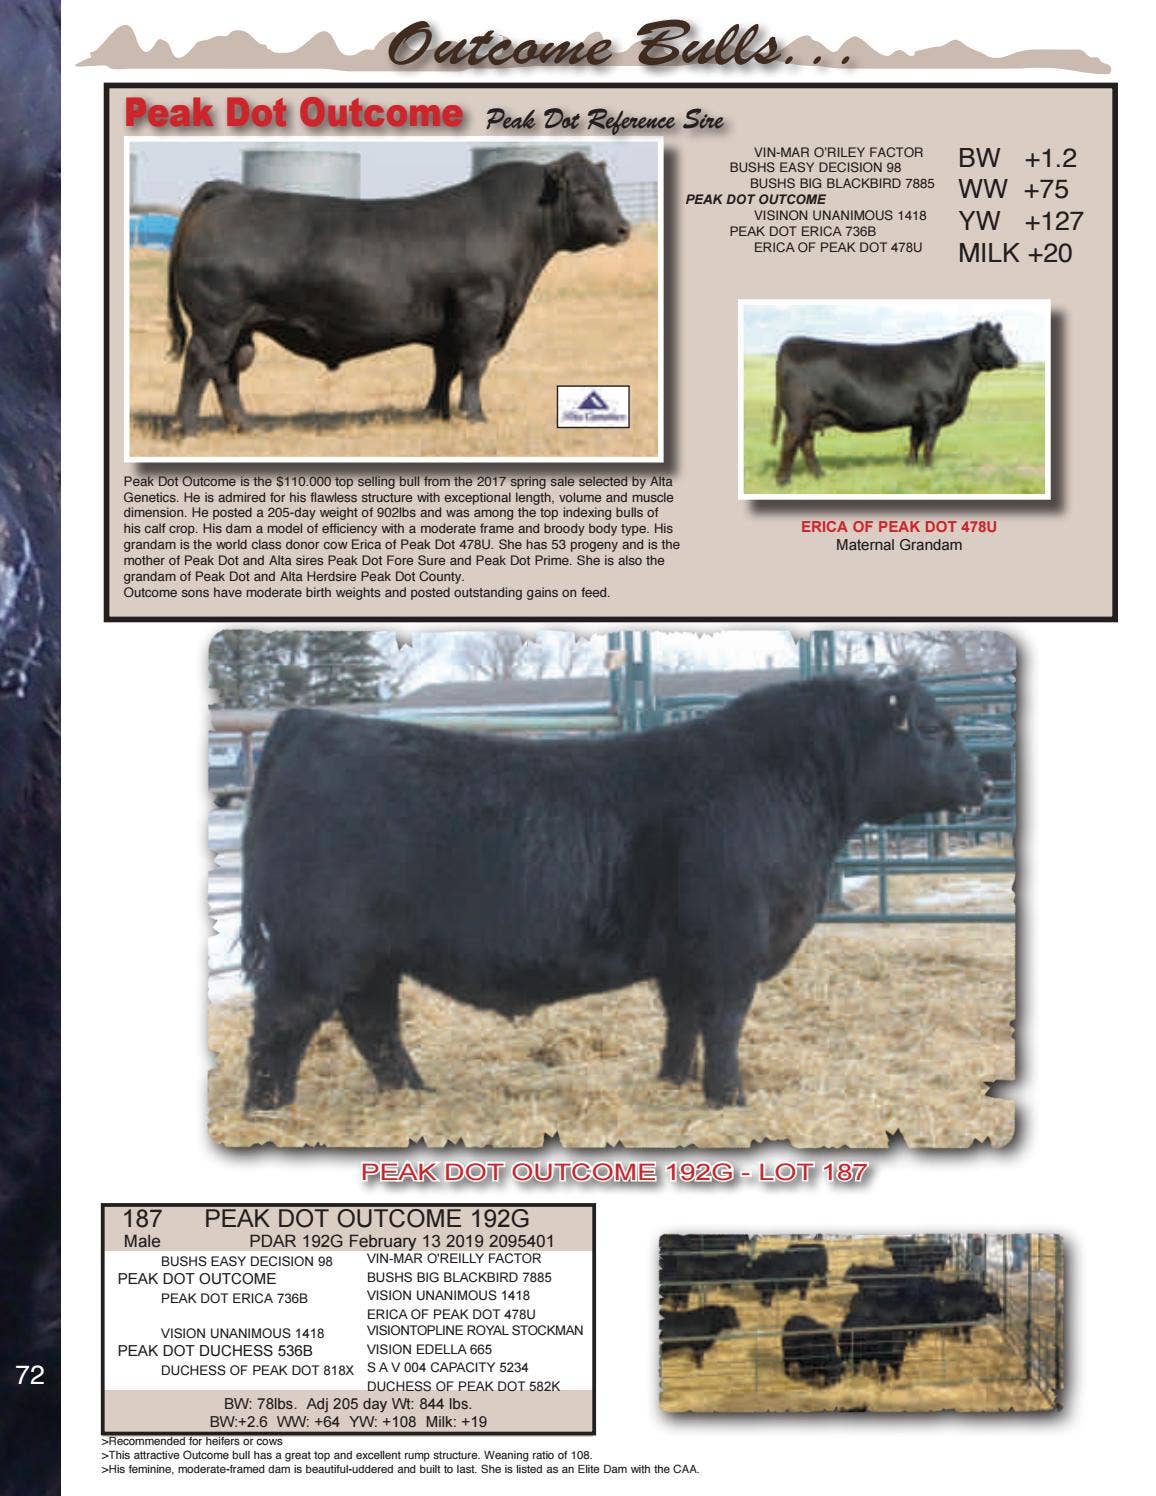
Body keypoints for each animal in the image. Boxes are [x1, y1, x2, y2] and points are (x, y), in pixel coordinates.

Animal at [166, 154, 630, 434]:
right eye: (585, 191)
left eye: (608, 188)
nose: (623, 228)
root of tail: (231, 190)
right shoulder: (480, 310)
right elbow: (473, 366)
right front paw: (474, 415)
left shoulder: (449, 322)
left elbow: (446, 367)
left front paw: (437, 413)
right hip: (217, 321)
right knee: (201, 363)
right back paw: (186, 428)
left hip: (239, 325)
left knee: (228, 369)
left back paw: (244, 424)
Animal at [240, 670, 987, 1112]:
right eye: (932, 728)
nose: (981, 783)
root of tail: (309, 721)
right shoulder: (732, 950)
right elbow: (725, 1024)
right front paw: (730, 1098)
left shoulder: (686, 956)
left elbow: (683, 1022)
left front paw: (674, 1082)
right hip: (315, 948)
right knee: (282, 1023)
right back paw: (269, 1111)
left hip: (369, 956)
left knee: (372, 1023)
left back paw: (415, 1096)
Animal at [770, 321, 1019, 484]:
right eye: (991, 340)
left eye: (1002, 338)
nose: (1013, 359)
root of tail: (792, 343)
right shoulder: (933, 411)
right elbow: (929, 442)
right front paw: (929, 468)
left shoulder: (918, 417)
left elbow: (915, 441)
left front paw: (911, 466)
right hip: (799, 413)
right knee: (790, 439)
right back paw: (783, 480)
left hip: (811, 416)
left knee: (806, 442)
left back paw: (819, 475)